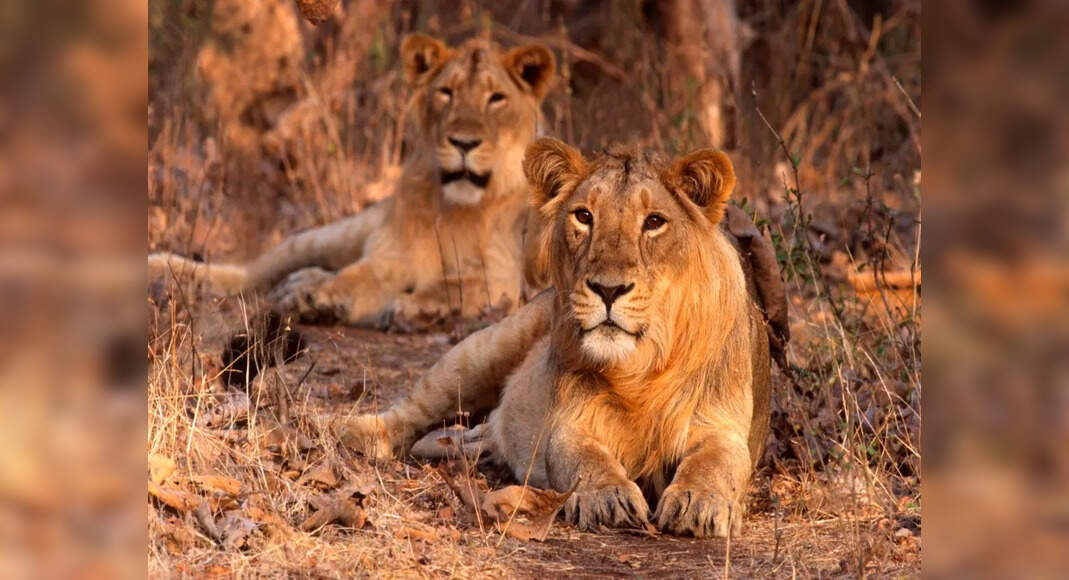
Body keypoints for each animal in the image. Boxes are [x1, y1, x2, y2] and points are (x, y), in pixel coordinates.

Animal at [149, 34, 556, 327]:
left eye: (496, 98)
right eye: (446, 92)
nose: (464, 143)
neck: (457, 206)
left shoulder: (505, 277)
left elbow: (456, 285)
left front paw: (416, 308)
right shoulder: (391, 256)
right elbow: (358, 278)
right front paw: (322, 299)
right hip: (330, 235)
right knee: (253, 272)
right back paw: (167, 269)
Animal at [340, 138, 777, 538]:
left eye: (654, 221)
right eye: (584, 216)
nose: (608, 289)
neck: (642, 366)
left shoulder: (722, 424)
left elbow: (716, 462)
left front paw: (699, 501)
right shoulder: (570, 421)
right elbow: (583, 459)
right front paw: (607, 496)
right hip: (483, 350)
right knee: (412, 410)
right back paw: (349, 431)